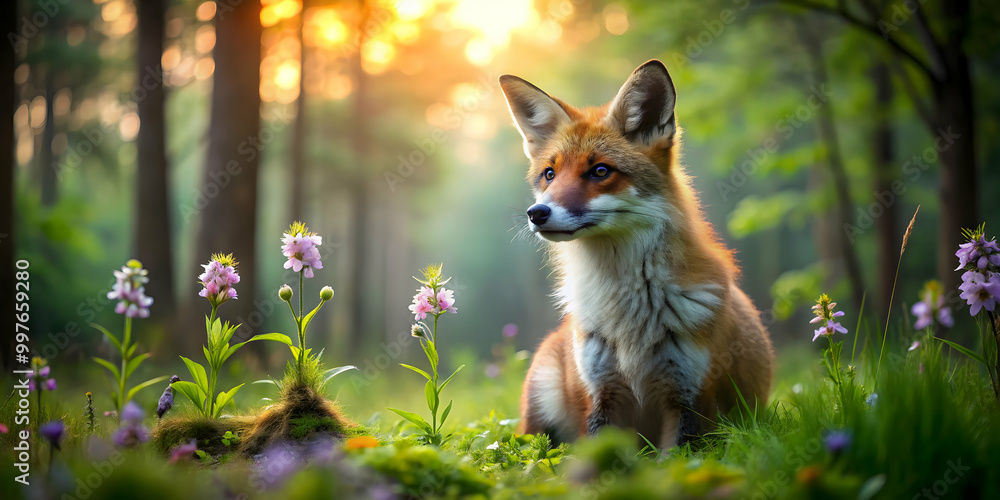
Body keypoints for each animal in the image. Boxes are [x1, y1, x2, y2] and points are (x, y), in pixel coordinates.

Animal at [499, 60, 774, 449]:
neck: (628, 313)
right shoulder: (602, 396)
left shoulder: (690, 402)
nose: (536, 213)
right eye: (549, 174)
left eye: (600, 171)